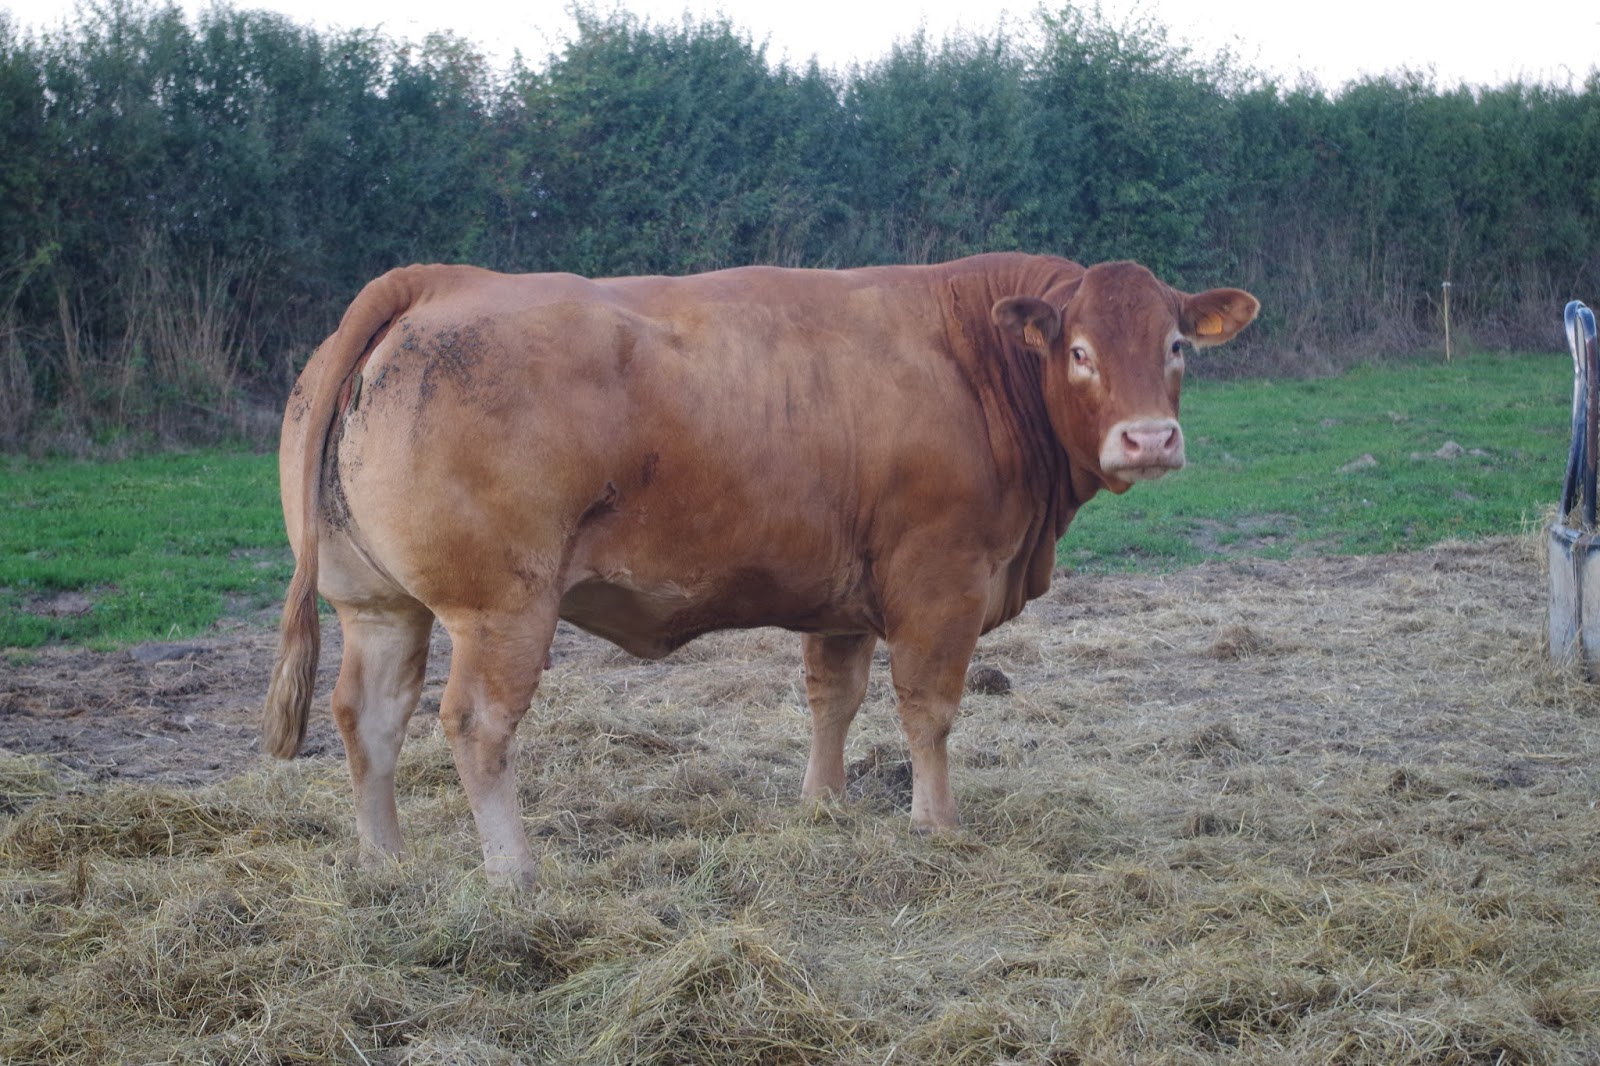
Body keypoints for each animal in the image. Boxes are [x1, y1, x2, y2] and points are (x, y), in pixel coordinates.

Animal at [263, 253, 1258, 886]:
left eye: (1175, 346)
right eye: (1079, 350)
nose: (1149, 439)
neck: (974, 361)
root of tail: (439, 282)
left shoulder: (847, 596)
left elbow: (833, 698)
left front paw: (825, 806)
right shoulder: (942, 581)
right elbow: (929, 710)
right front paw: (935, 825)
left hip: (378, 604)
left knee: (368, 718)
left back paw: (383, 862)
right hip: (501, 607)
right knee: (474, 725)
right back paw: (513, 871)